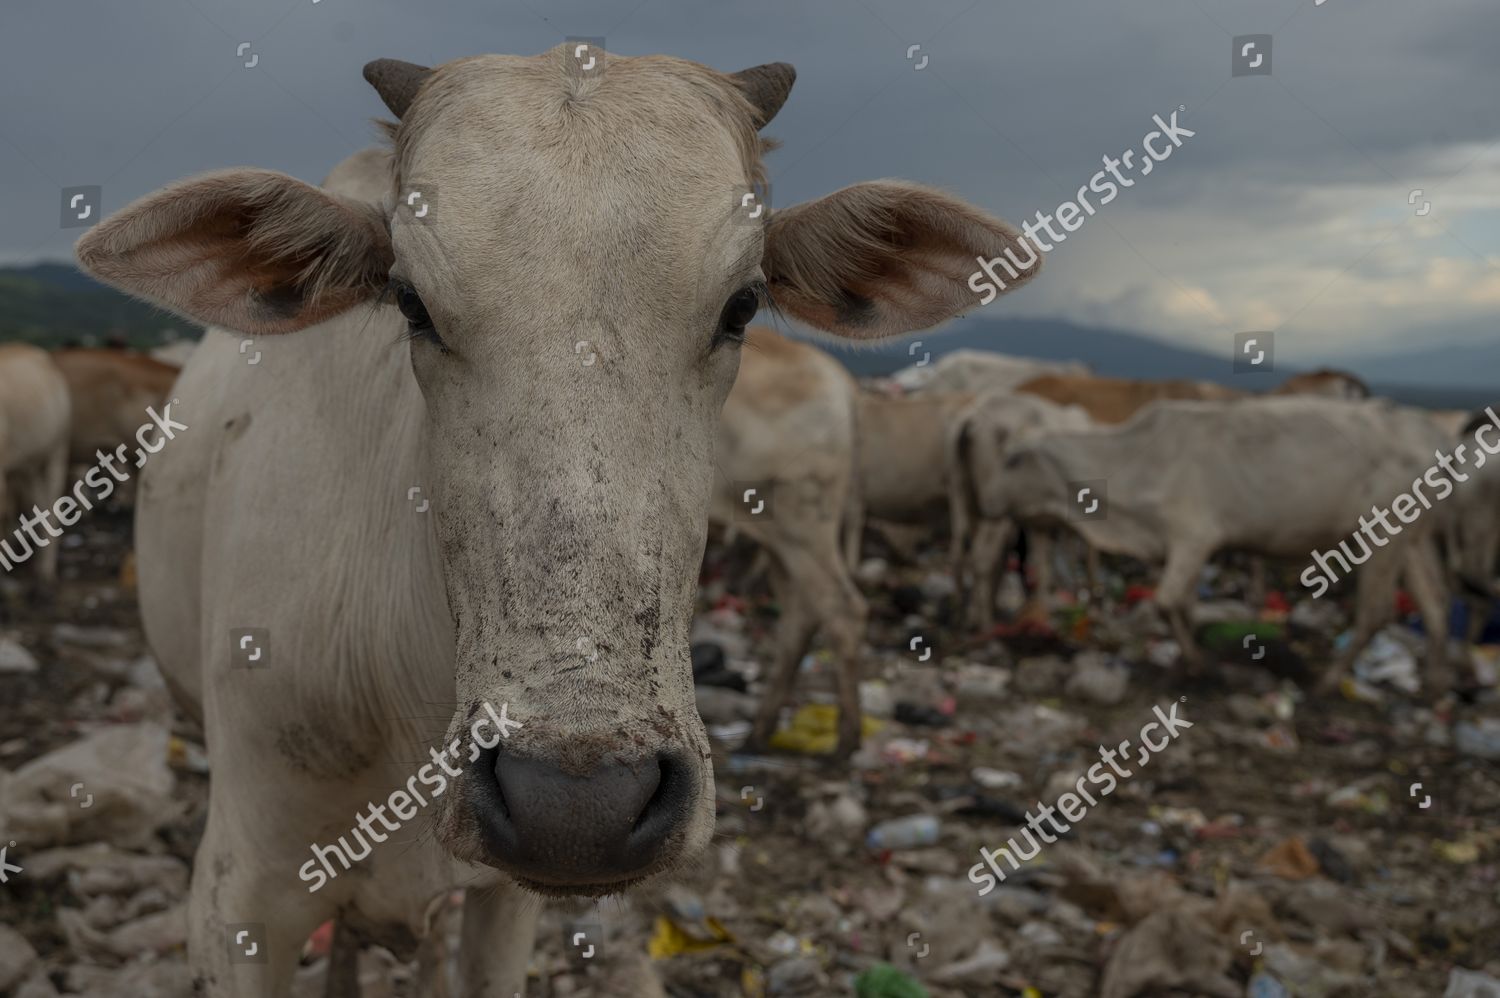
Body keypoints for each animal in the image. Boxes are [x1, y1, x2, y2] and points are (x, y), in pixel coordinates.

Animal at [713, 327, 867, 755]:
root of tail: (841, 380)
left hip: (804, 522)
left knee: (841, 608)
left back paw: (846, 739)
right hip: (778, 539)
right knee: (801, 615)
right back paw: (759, 731)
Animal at [982, 397, 1453, 692]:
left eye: (1013, 460)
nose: (981, 499)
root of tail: (1430, 433)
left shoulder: (1193, 538)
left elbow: (1165, 602)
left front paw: (1197, 664)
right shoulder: (1180, 548)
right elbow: (1184, 606)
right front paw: (1185, 663)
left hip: (1385, 537)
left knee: (1376, 613)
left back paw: (1327, 681)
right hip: (1413, 541)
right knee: (1434, 606)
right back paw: (1434, 684)